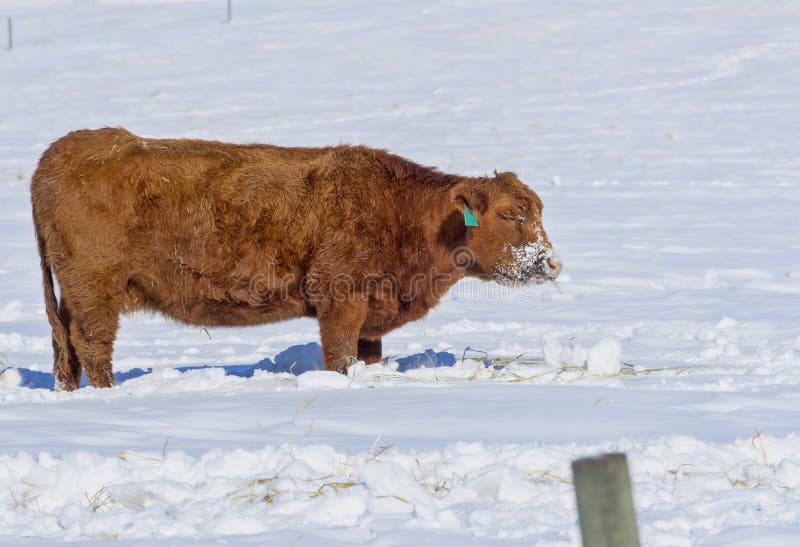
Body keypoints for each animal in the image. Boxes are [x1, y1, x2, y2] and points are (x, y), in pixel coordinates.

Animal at [31, 128, 562, 390]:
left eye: (538, 210)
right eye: (512, 213)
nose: (551, 263)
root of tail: (58, 153)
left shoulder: (371, 315)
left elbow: (367, 356)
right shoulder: (340, 300)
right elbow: (340, 357)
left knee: (67, 351)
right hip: (95, 290)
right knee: (92, 347)